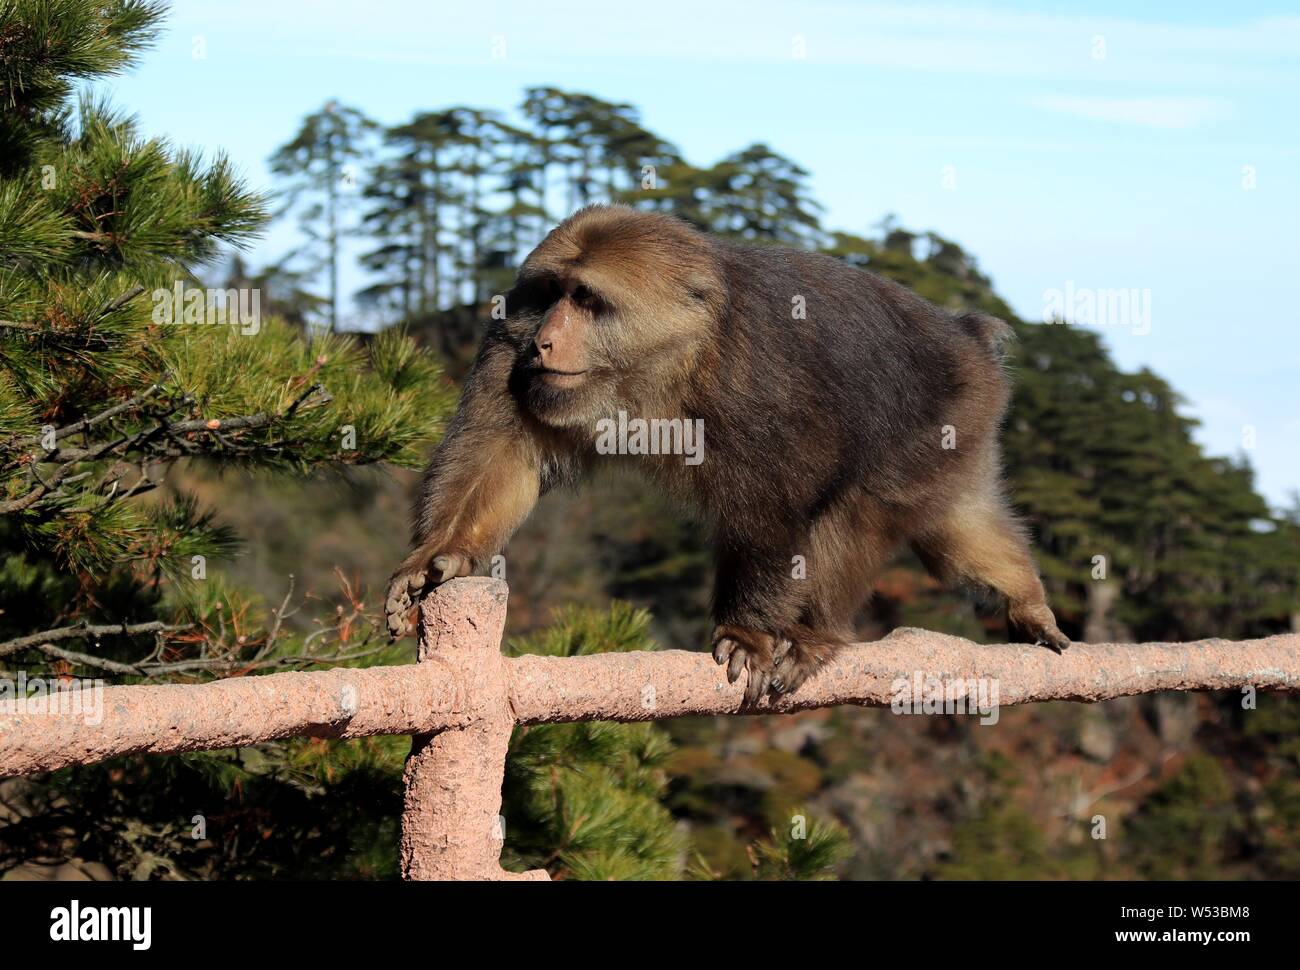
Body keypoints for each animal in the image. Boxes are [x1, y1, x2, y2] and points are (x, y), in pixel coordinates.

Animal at [385, 204, 1070, 705]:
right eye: (552, 292)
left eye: (587, 299)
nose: (547, 341)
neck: (678, 355)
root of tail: (965, 333)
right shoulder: (514, 345)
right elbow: (502, 450)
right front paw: (438, 557)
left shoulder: (759, 379)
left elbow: (771, 507)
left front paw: (745, 632)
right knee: (956, 527)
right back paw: (1026, 597)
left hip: (948, 414)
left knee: (863, 507)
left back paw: (814, 636)